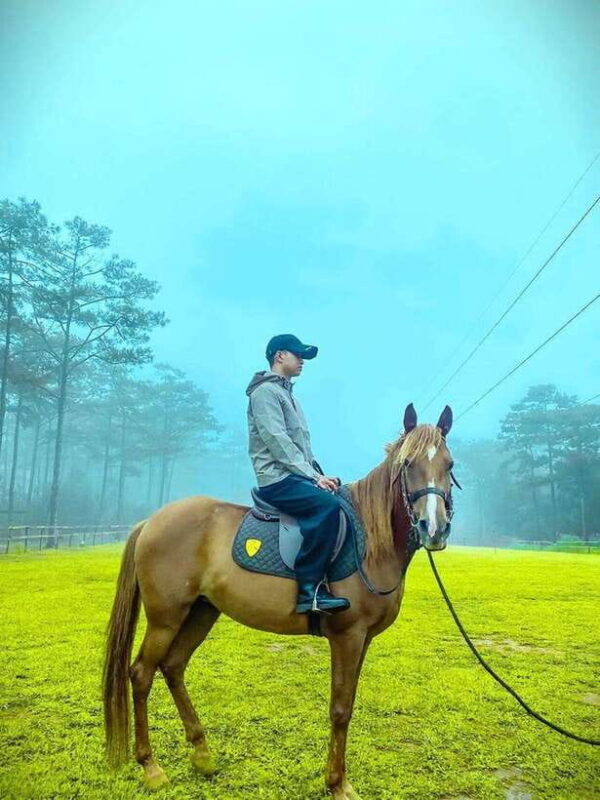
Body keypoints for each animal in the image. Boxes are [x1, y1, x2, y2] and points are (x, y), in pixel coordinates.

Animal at [102, 403, 456, 800]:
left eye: (449, 464)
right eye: (407, 463)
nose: (434, 528)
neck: (370, 541)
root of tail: (150, 522)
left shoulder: (363, 639)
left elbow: (348, 703)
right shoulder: (347, 636)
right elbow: (340, 709)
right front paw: (337, 783)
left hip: (201, 612)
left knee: (173, 667)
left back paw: (202, 754)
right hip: (166, 618)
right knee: (141, 674)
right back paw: (151, 767)